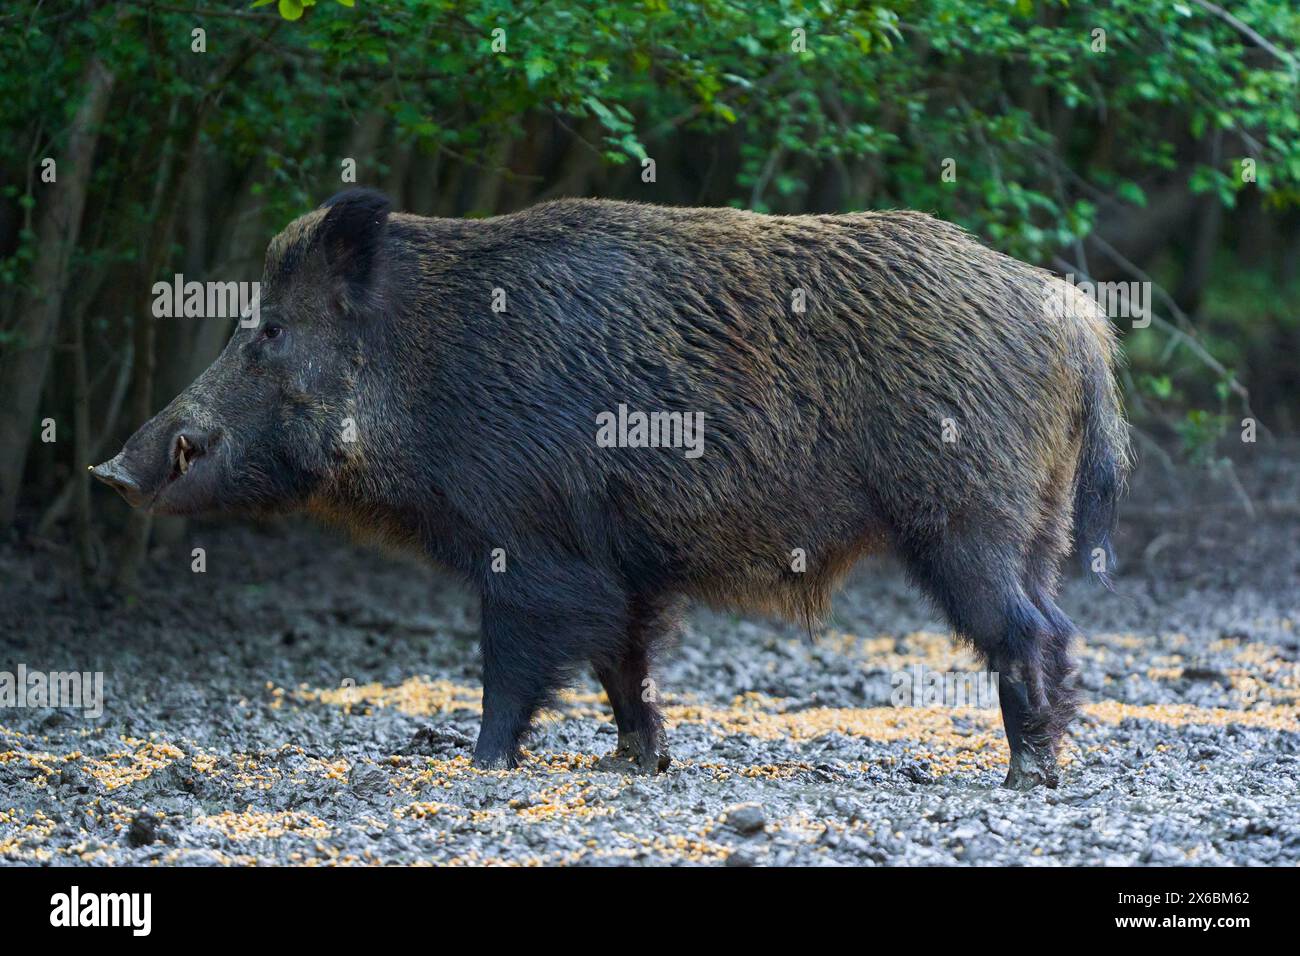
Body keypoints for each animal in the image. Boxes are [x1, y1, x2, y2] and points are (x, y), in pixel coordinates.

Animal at [93, 189, 1129, 788]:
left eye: (267, 331)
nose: (113, 468)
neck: (421, 366)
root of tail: (1079, 323)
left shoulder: (531, 545)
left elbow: (516, 661)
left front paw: (481, 768)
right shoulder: (619, 566)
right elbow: (620, 662)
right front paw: (636, 763)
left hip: (968, 515)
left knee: (1028, 629)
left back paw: (1027, 777)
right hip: (1034, 522)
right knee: (1057, 622)